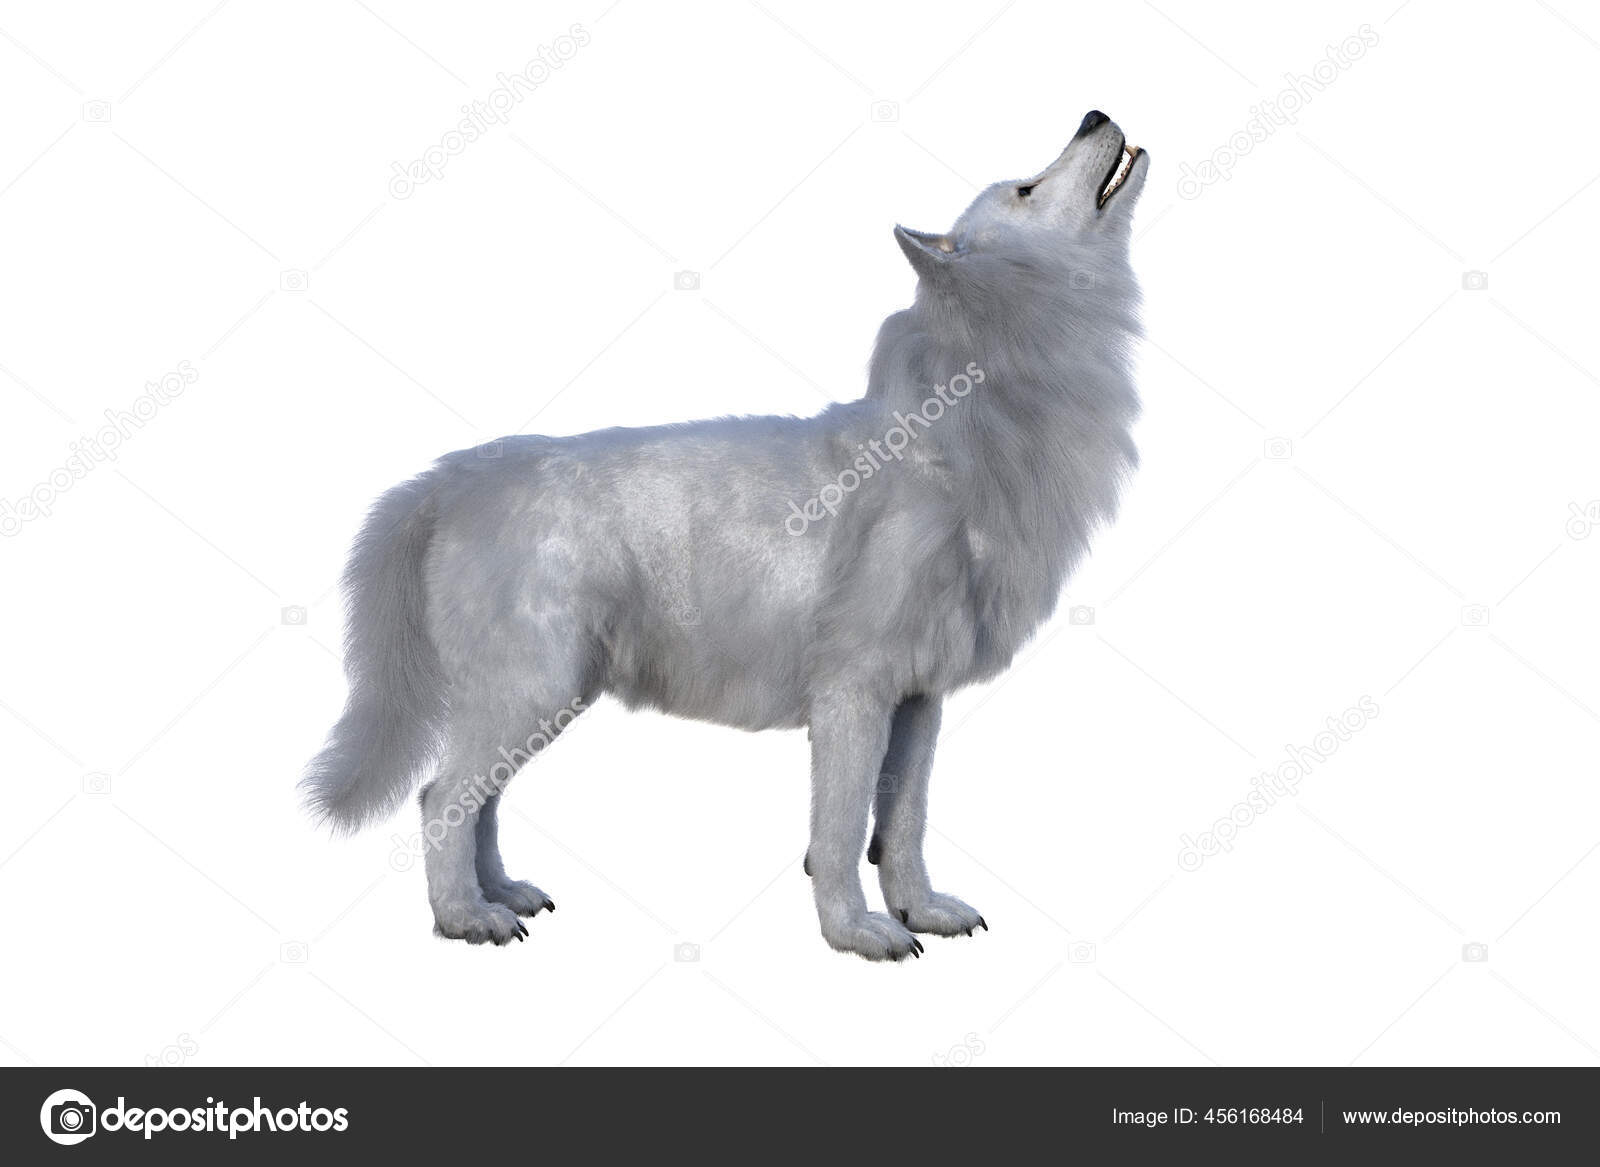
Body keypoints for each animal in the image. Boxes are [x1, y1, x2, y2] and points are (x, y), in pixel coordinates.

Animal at [302, 111, 1148, 959]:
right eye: (1026, 188)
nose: (1096, 116)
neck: (968, 432)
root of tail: (448, 478)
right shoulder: (852, 695)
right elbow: (841, 833)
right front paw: (855, 933)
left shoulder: (917, 701)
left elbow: (903, 827)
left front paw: (921, 911)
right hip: (531, 691)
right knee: (440, 796)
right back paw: (465, 918)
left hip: (538, 699)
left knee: (479, 802)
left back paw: (503, 893)